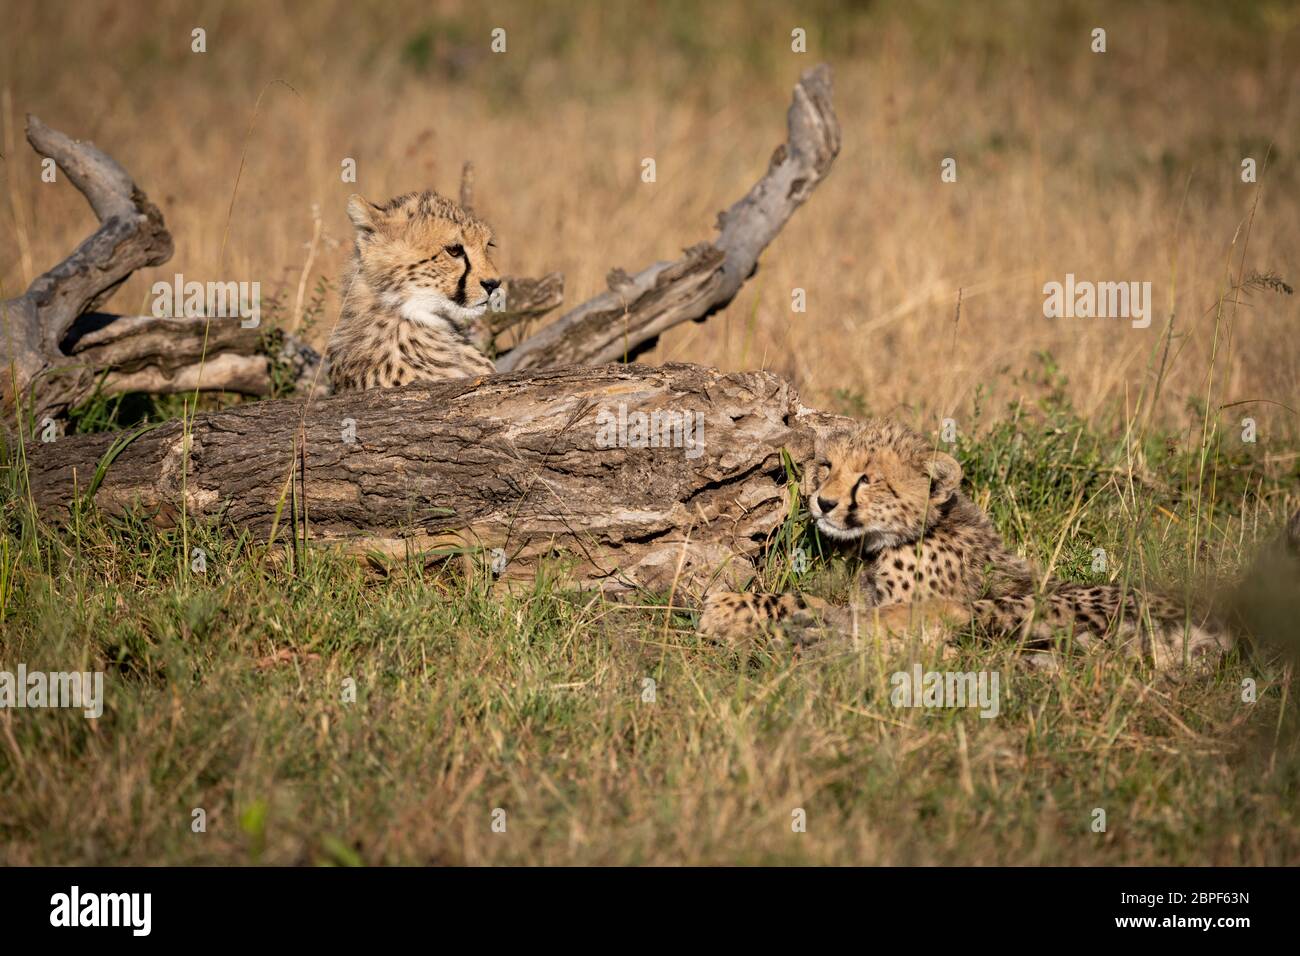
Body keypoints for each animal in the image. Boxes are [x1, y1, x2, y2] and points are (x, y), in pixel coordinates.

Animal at [698, 417, 1255, 670]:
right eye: (827, 466)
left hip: (1031, 605)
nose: (823, 503)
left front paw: (727, 607)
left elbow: (811, 600)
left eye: (869, 479)